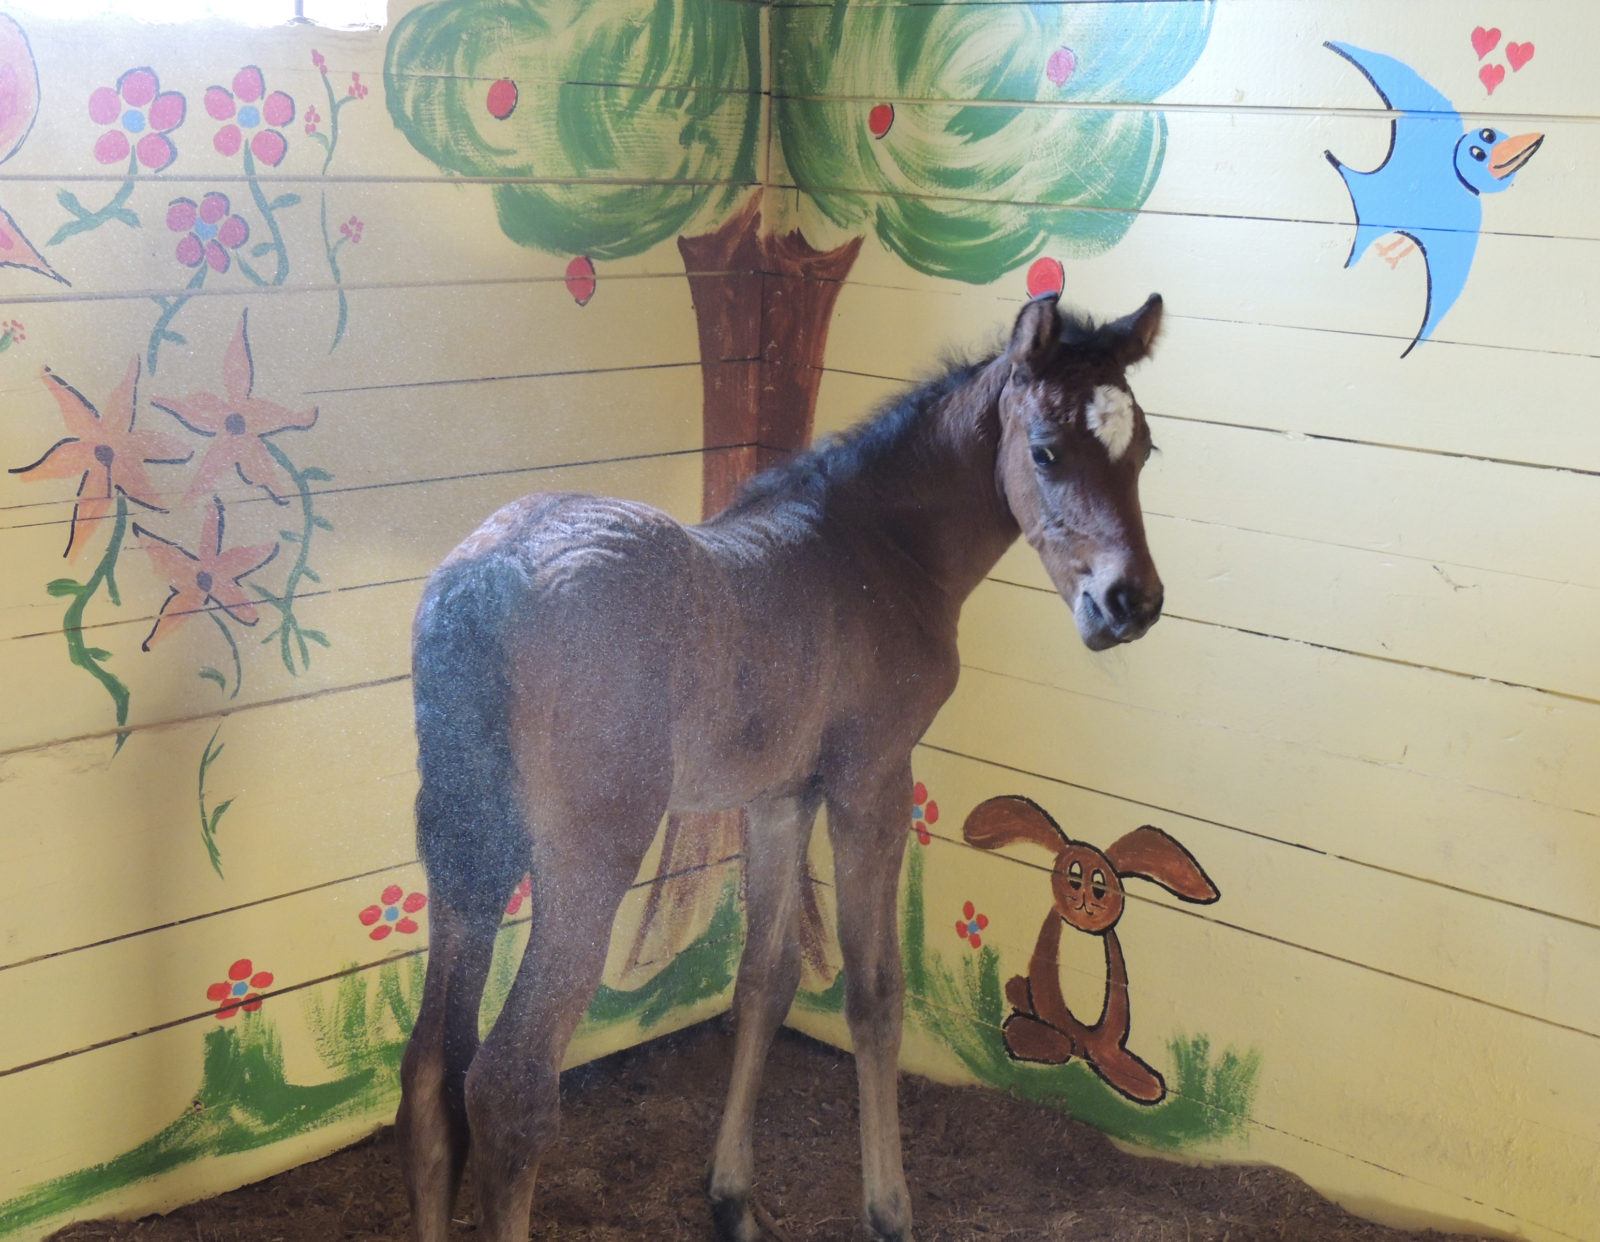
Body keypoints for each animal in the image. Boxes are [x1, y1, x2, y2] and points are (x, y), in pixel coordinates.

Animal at [395, 290, 1167, 1242]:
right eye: (1046, 450)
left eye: (1143, 450)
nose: (1128, 602)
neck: (882, 551)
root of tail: (492, 570)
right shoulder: (872, 777)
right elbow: (874, 990)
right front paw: (888, 1209)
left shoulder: (779, 797)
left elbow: (765, 979)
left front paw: (732, 1197)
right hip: (589, 856)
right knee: (508, 1089)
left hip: (467, 844)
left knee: (431, 1075)